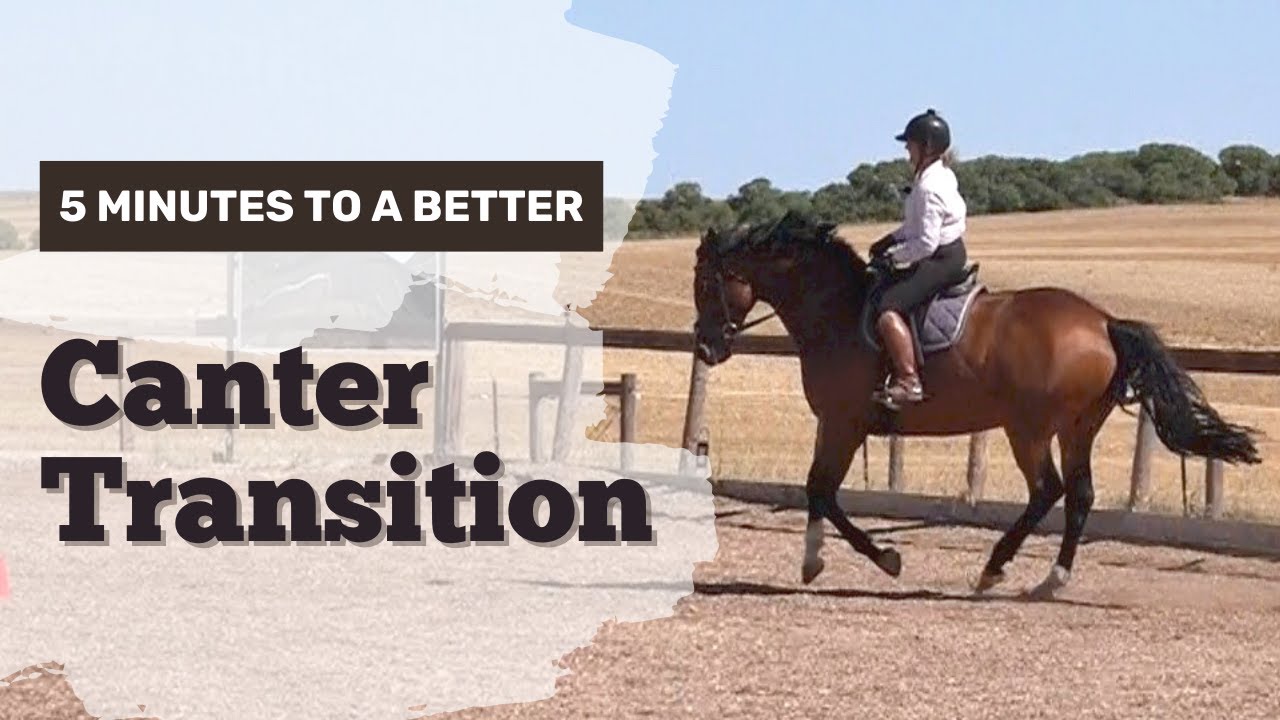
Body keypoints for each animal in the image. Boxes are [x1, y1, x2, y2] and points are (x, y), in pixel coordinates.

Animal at [692, 211, 1261, 596]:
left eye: (705, 284)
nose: (706, 348)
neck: (836, 312)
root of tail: (1102, 323)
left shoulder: (844, 422)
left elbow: (822, 491)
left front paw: (875, 559)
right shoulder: (836, 424)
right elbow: (817, 491)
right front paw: (816, 559)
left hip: (1028, 428)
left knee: (1048, 491)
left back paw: (994, 568)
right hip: (1076, 427)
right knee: (1079, 495)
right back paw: (1050, 579)